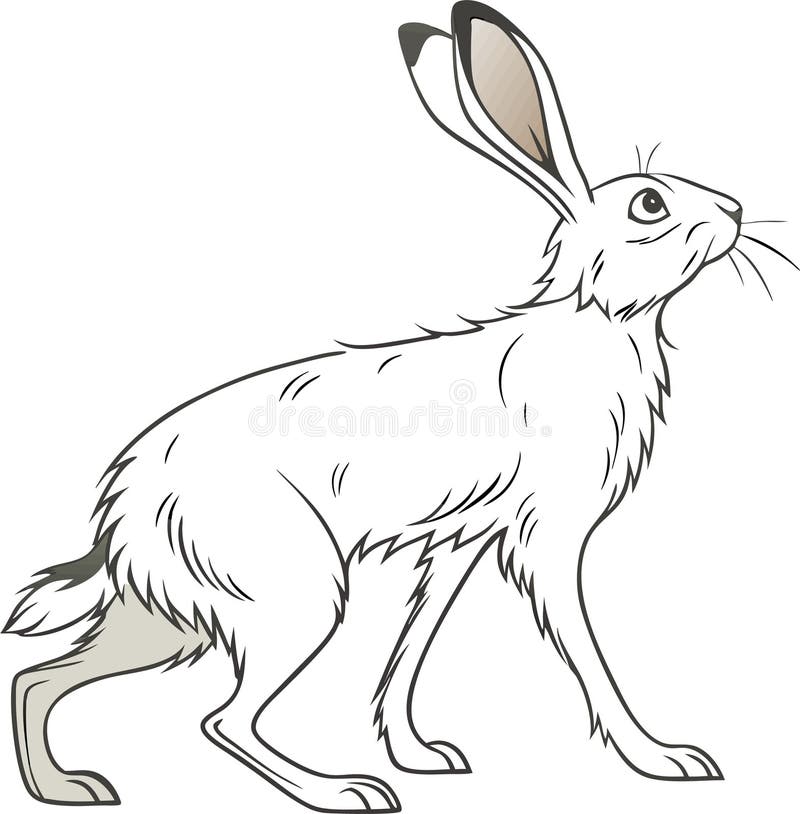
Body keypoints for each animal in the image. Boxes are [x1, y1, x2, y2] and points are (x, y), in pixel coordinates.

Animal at [5, 1, 754, 809]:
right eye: (651, 203)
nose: (737, 209)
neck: (600, 318)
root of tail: (122, 506)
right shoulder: (547, 538)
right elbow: (584, 650)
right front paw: (664, 760)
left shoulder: (459, 542)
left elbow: (415, 640)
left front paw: (419, 753)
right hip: (294, 592)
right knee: (221, 719)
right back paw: (343, 791)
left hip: (170, 611)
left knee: (38, 677)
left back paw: (66, 786)